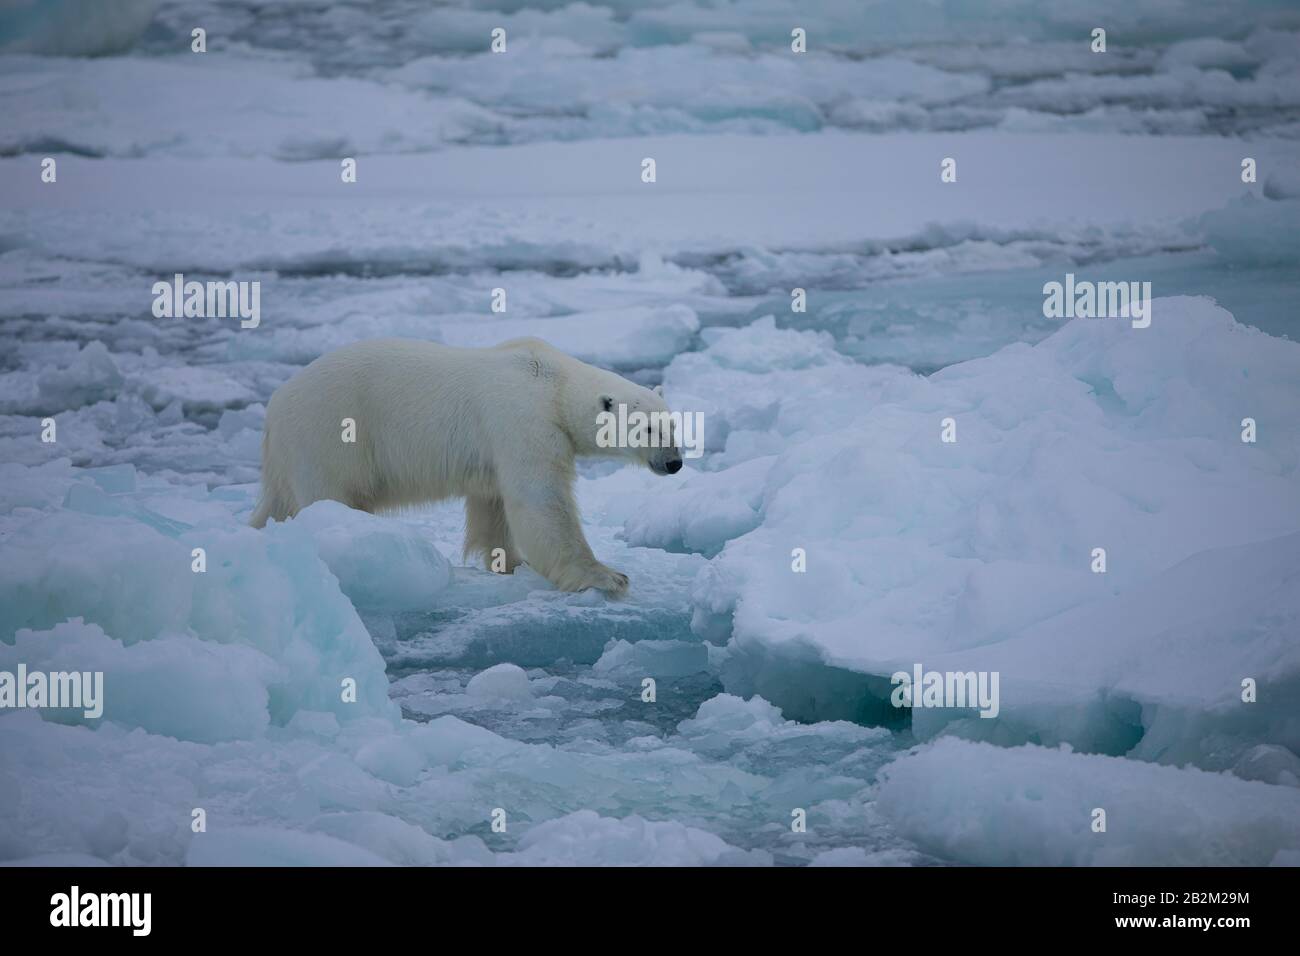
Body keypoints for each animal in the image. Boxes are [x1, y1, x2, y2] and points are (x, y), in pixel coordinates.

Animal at [250, 337, 684, 596]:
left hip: (291, 454)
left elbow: (492, 504)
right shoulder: (524, 420)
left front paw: (512, 563)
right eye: (647, 428)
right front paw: (608, 576)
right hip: (329, 433)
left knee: (277, 504)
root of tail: (276, 405)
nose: (674, 462)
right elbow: (540, 499)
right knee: (329, 494)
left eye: (673, 425)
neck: (552, 385)